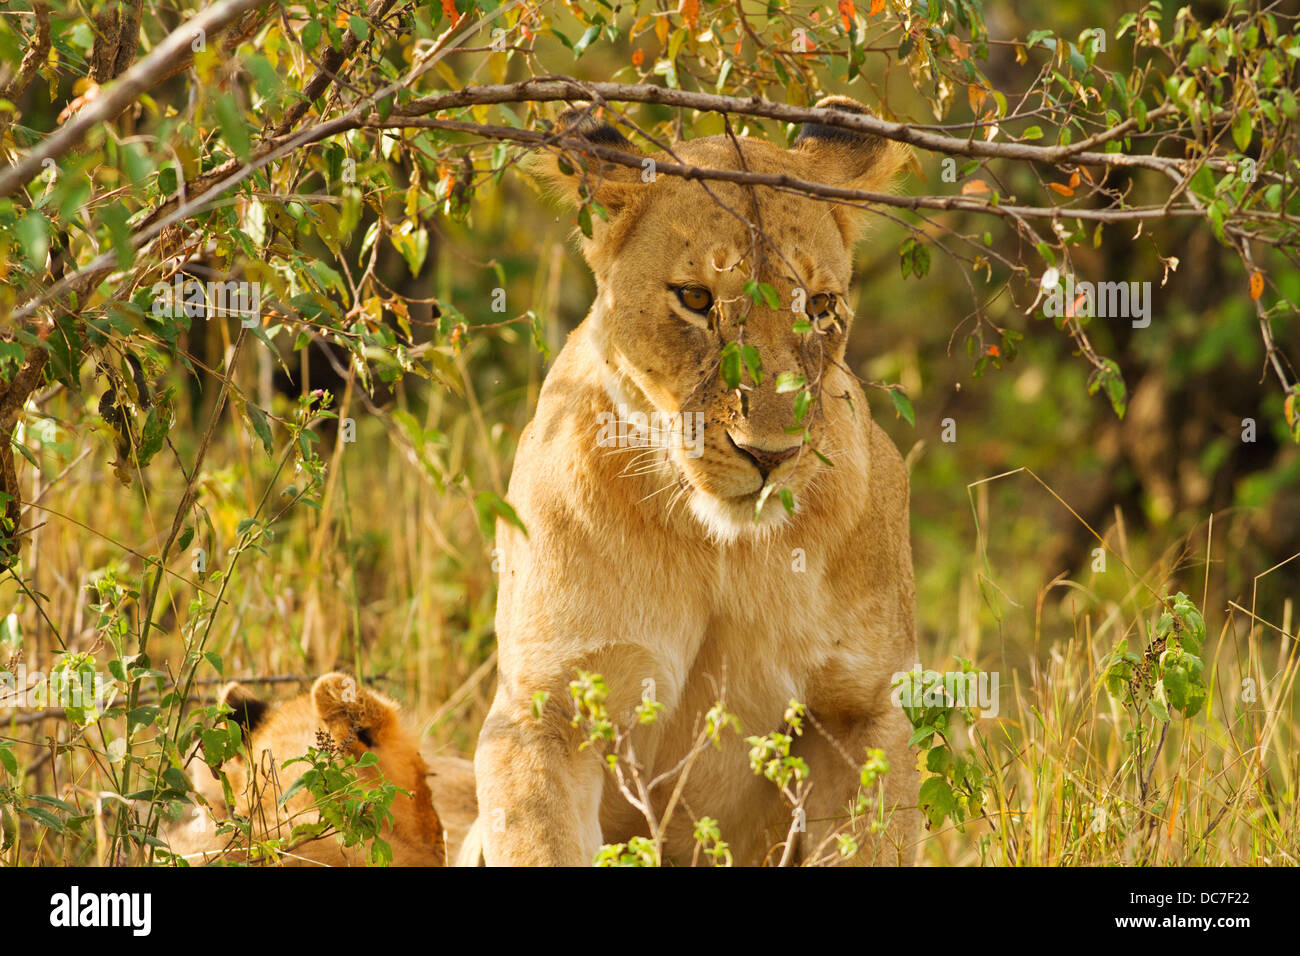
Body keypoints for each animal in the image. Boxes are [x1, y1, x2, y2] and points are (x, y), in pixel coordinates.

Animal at [472, 97, 920, 866]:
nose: (770, 454)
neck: (723, 547)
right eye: (694, 298)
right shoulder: (547, 708)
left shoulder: (863, 712)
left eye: (821, 308)